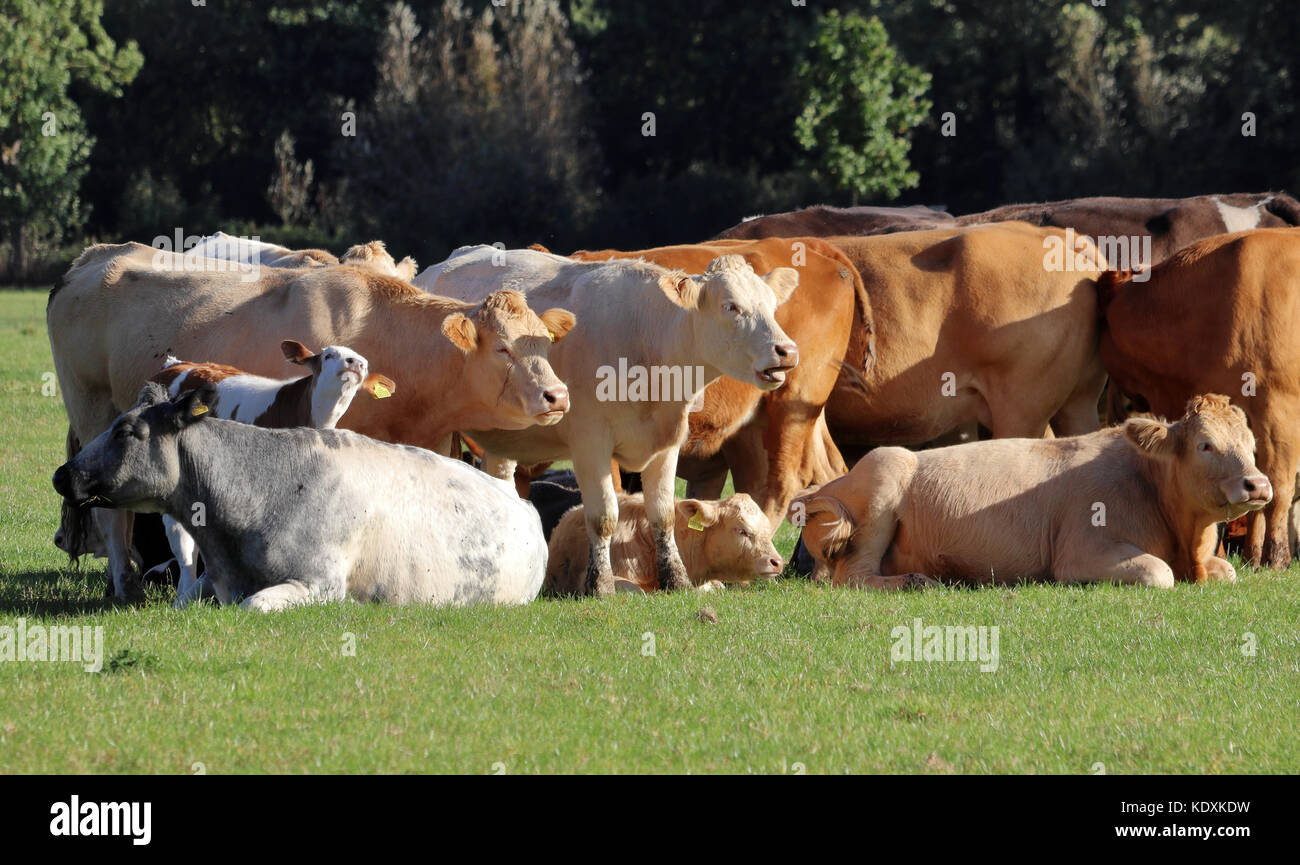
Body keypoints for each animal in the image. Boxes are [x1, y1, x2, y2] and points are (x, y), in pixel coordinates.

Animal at [53, 384, 548, 610]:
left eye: (125, 431)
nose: (63, 474)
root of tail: (521, 503)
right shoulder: (213, 577)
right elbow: (189, 593)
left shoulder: (320, 584)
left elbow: (253, 604)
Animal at [150, 340, 397, 606]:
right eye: (329, 355)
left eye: (365, 362)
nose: (356, 363)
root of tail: (176, 364)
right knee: (180, 536)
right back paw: (183, 593)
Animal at [792, 394, 1271, 589]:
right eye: (1205, 444)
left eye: (1251, 445)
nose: (1258, 484)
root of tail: (823, 487)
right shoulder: (1080, 552)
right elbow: (1159, 573)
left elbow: (1227, 572)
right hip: (884, 473)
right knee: (852, 576)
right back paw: (915, 583)